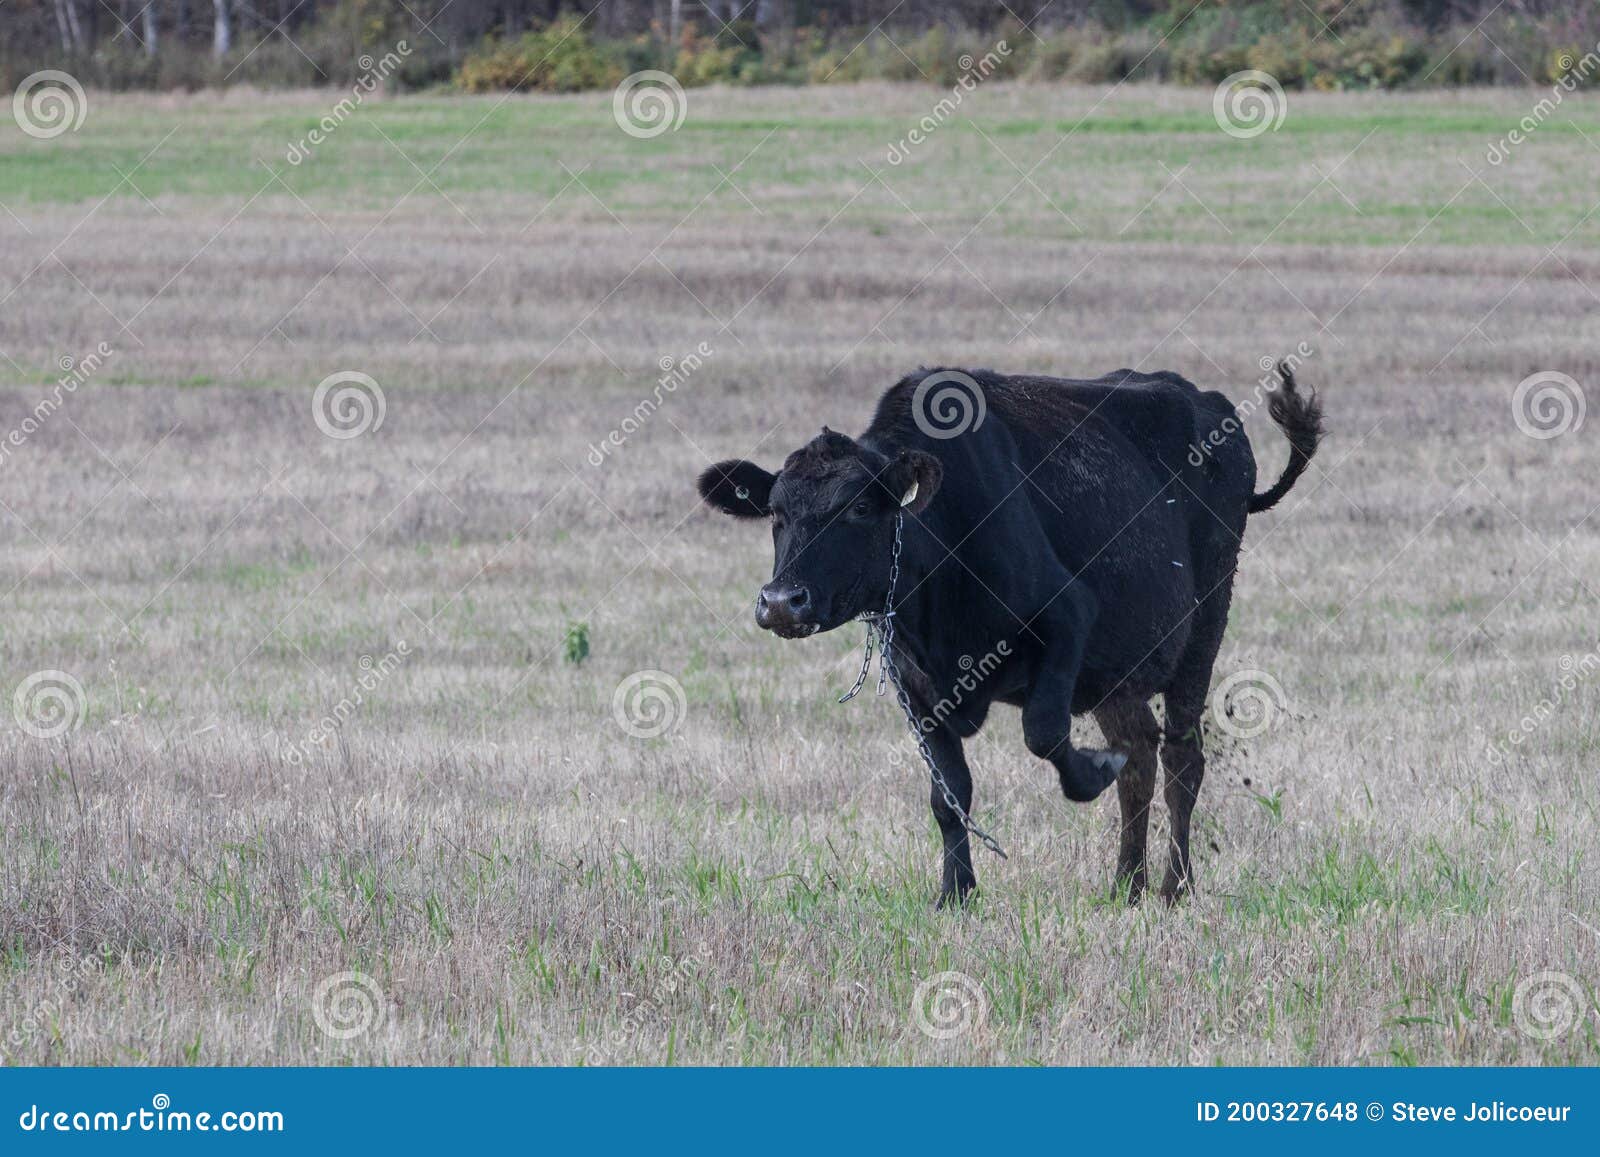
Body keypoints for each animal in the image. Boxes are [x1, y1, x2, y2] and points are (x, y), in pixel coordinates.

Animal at [696, 365, 1323, 906]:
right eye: (776, 512)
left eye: (858, 509)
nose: (782, 602)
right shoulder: (913, 681)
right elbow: (949, 794)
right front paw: (955, 893)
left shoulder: (1069, 618)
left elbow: (1043, 732)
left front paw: (1090, 772)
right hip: (1116, 676)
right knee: (1142, 756)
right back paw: (1127, 885)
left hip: (1202, 634)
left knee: (1181, 762)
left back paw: (1174, 887)